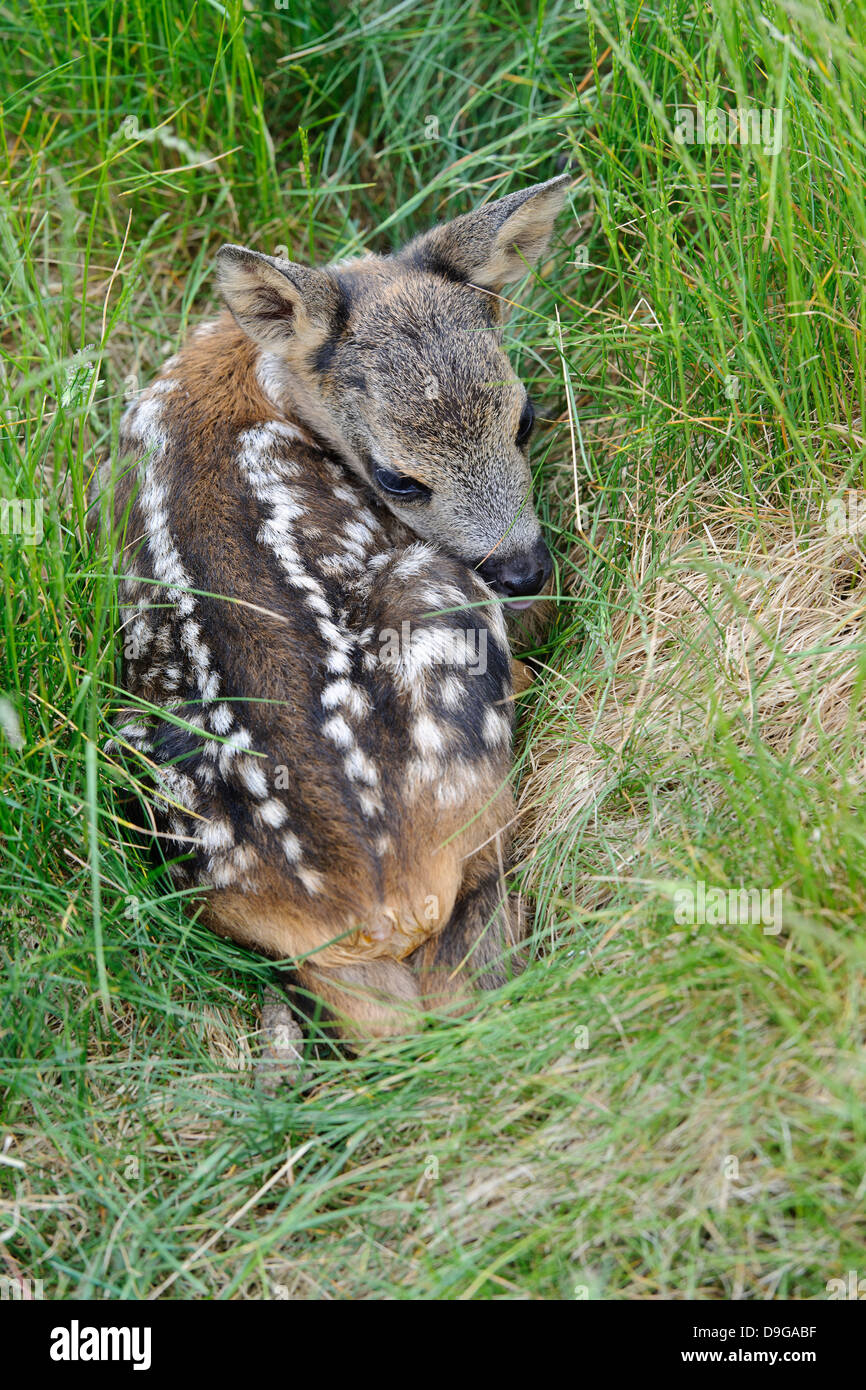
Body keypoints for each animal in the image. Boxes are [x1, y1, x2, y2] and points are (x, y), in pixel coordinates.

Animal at [101, 173, 570, 1052]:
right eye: (396, 479)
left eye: (523, 419)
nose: (525, 569)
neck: (248, 364)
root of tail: (385, 905)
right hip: (433, 593)